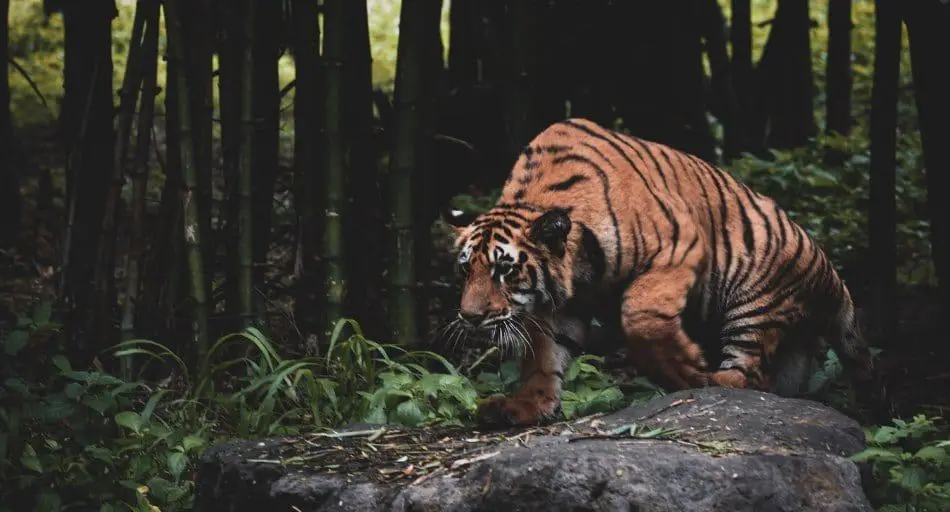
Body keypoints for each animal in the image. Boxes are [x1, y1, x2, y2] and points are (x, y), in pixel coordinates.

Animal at [440, 117, 880, 427]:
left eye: (504, 270)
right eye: (465, 272)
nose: (470, 317)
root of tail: (830, 272)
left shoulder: (679, 245)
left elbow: (641, 315)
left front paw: (684, 367)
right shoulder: (555, 306)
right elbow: (544, 357)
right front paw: (526, 405)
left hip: (756, 304)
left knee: (754, 378)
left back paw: (708, 378)